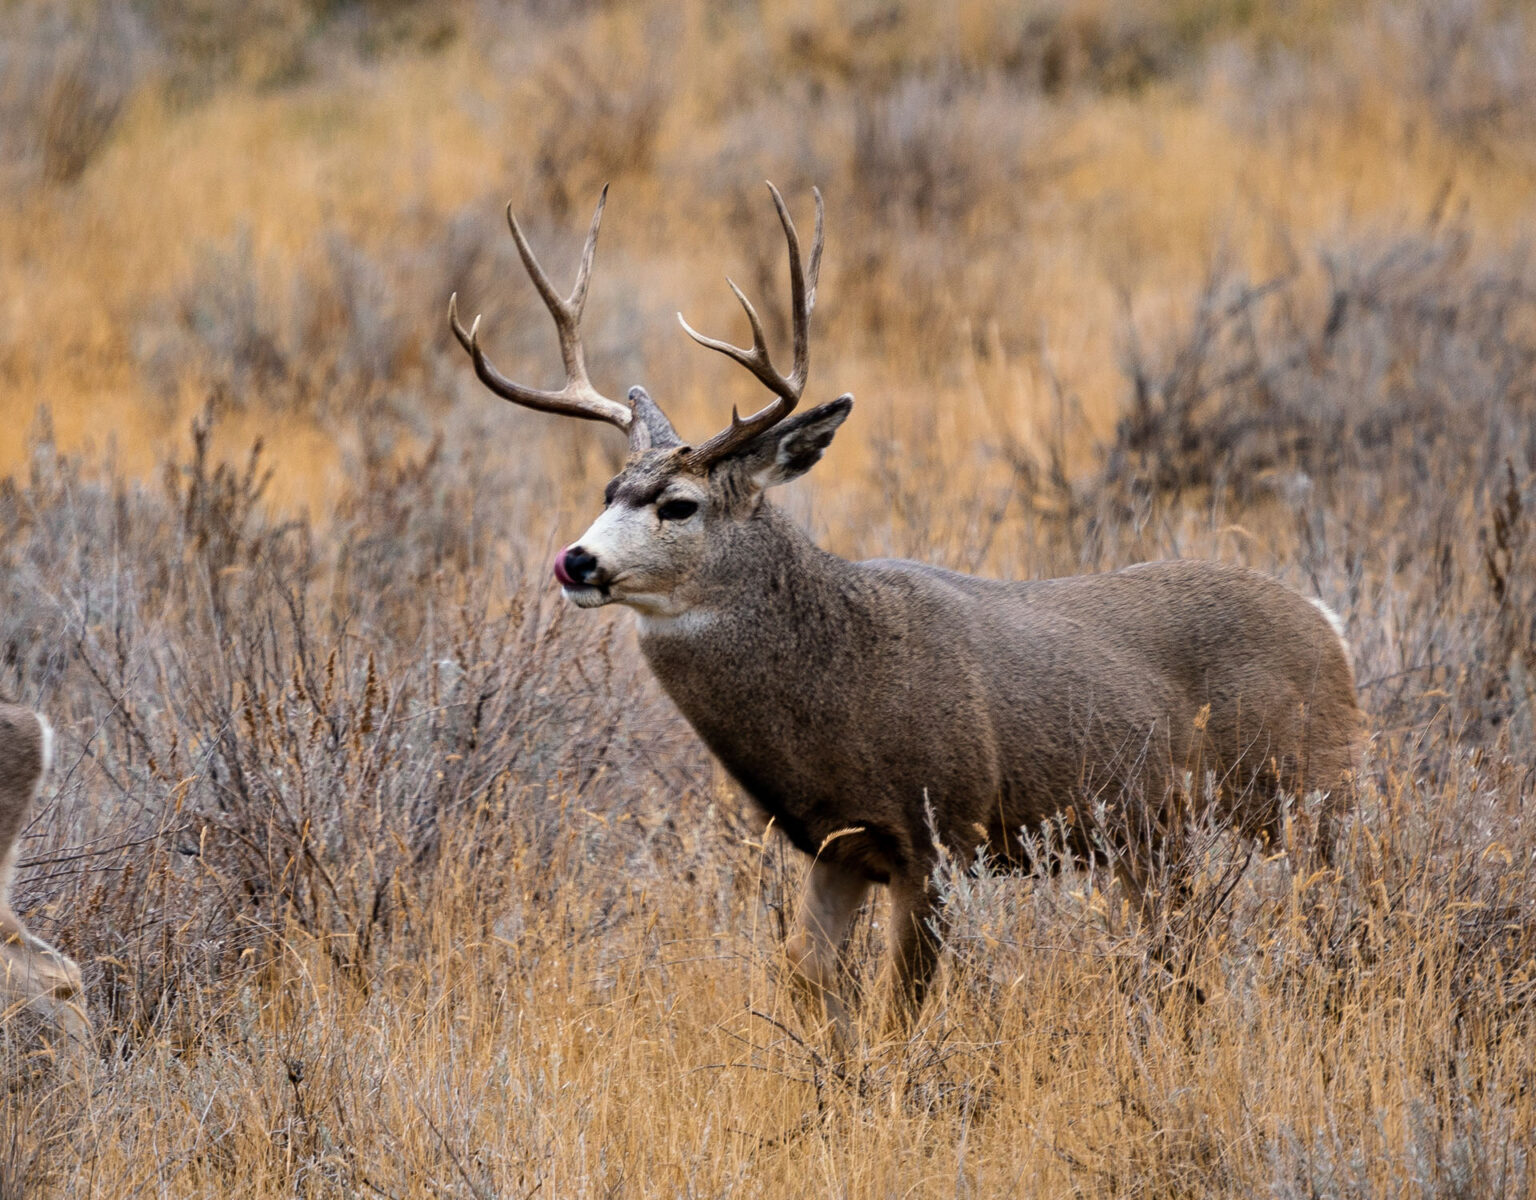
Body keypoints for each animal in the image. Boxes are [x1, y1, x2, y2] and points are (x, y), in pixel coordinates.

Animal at [447, 183, 1361, 1036]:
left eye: (678, 504)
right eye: (608, 489)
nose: (576, 561)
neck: (841, 683)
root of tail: (1330, 625)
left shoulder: (940, 834)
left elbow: (899, 1013)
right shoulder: (840, 846)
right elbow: (811, 985)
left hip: (1309, 797)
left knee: (1342, 918)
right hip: (1154, 839)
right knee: (1180, 950)